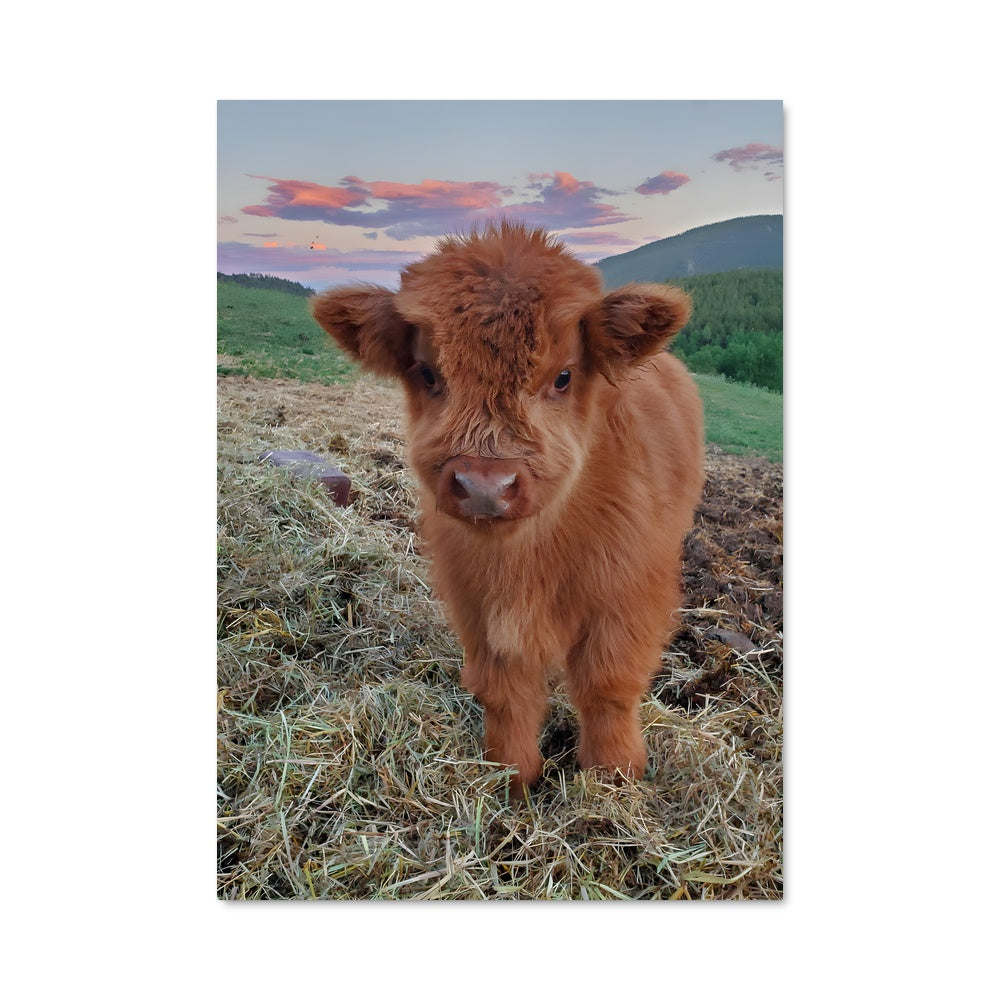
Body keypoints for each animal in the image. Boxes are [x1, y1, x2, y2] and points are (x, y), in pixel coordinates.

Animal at [311, 222, 704, 798]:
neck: (530, 558)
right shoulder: (476, 601)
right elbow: (505, 692)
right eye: (427, 373)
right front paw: (511, 779)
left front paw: (614, 780)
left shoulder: (628, 596)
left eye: (563, 376)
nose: (484, 486)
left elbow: (608, 685)